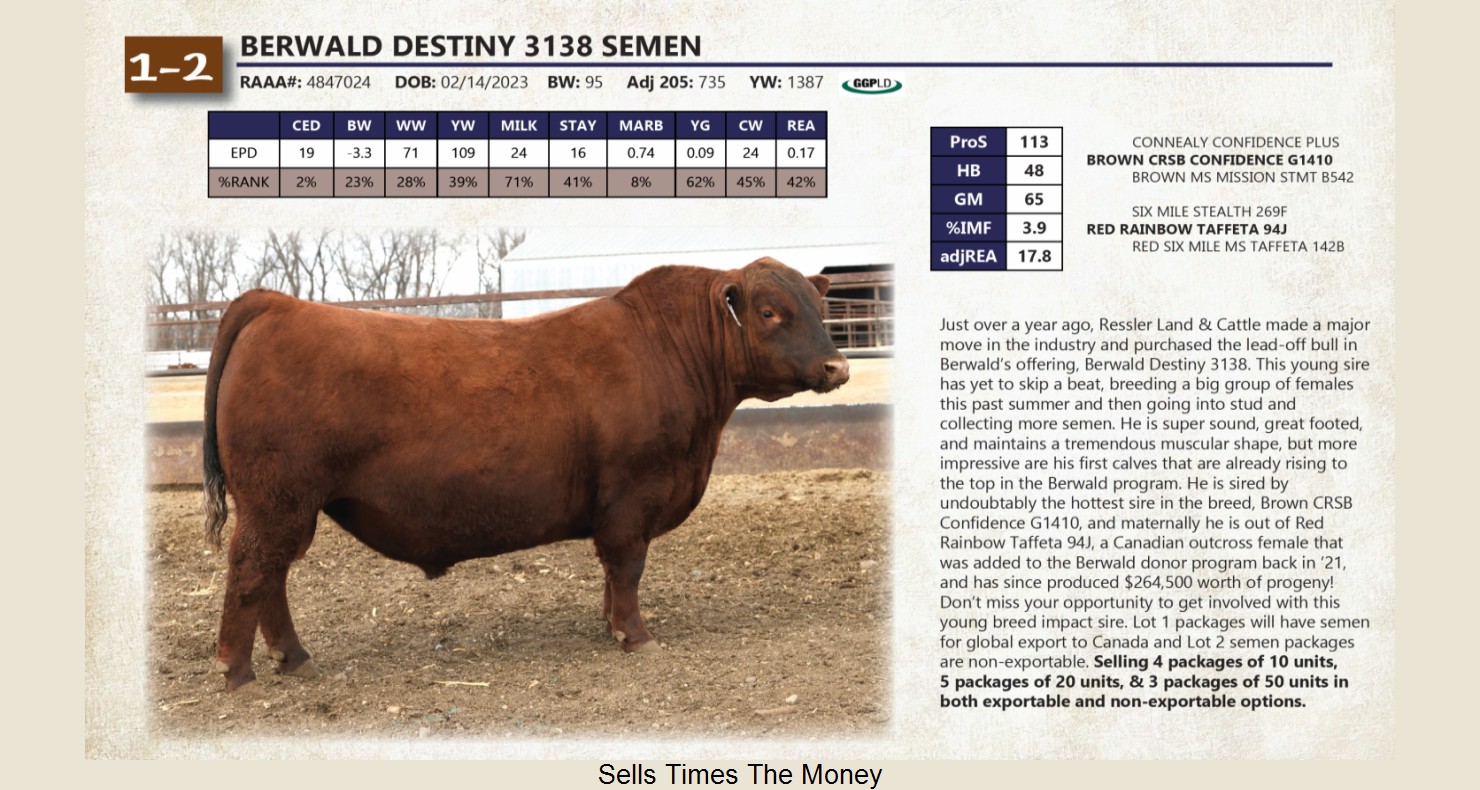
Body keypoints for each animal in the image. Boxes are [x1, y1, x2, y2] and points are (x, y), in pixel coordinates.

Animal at [201, 257, 850, 690]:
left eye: (820, 309)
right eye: (769, 311)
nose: (837, 366)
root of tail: (280, 303)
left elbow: (613, 574)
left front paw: (609, 625)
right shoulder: (631, 499)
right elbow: (628, 568)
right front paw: (636, 637)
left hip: (286, 505)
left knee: (273, 575)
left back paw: (293, 657)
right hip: (277, 499)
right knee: (253, 569)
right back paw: (237, 670)